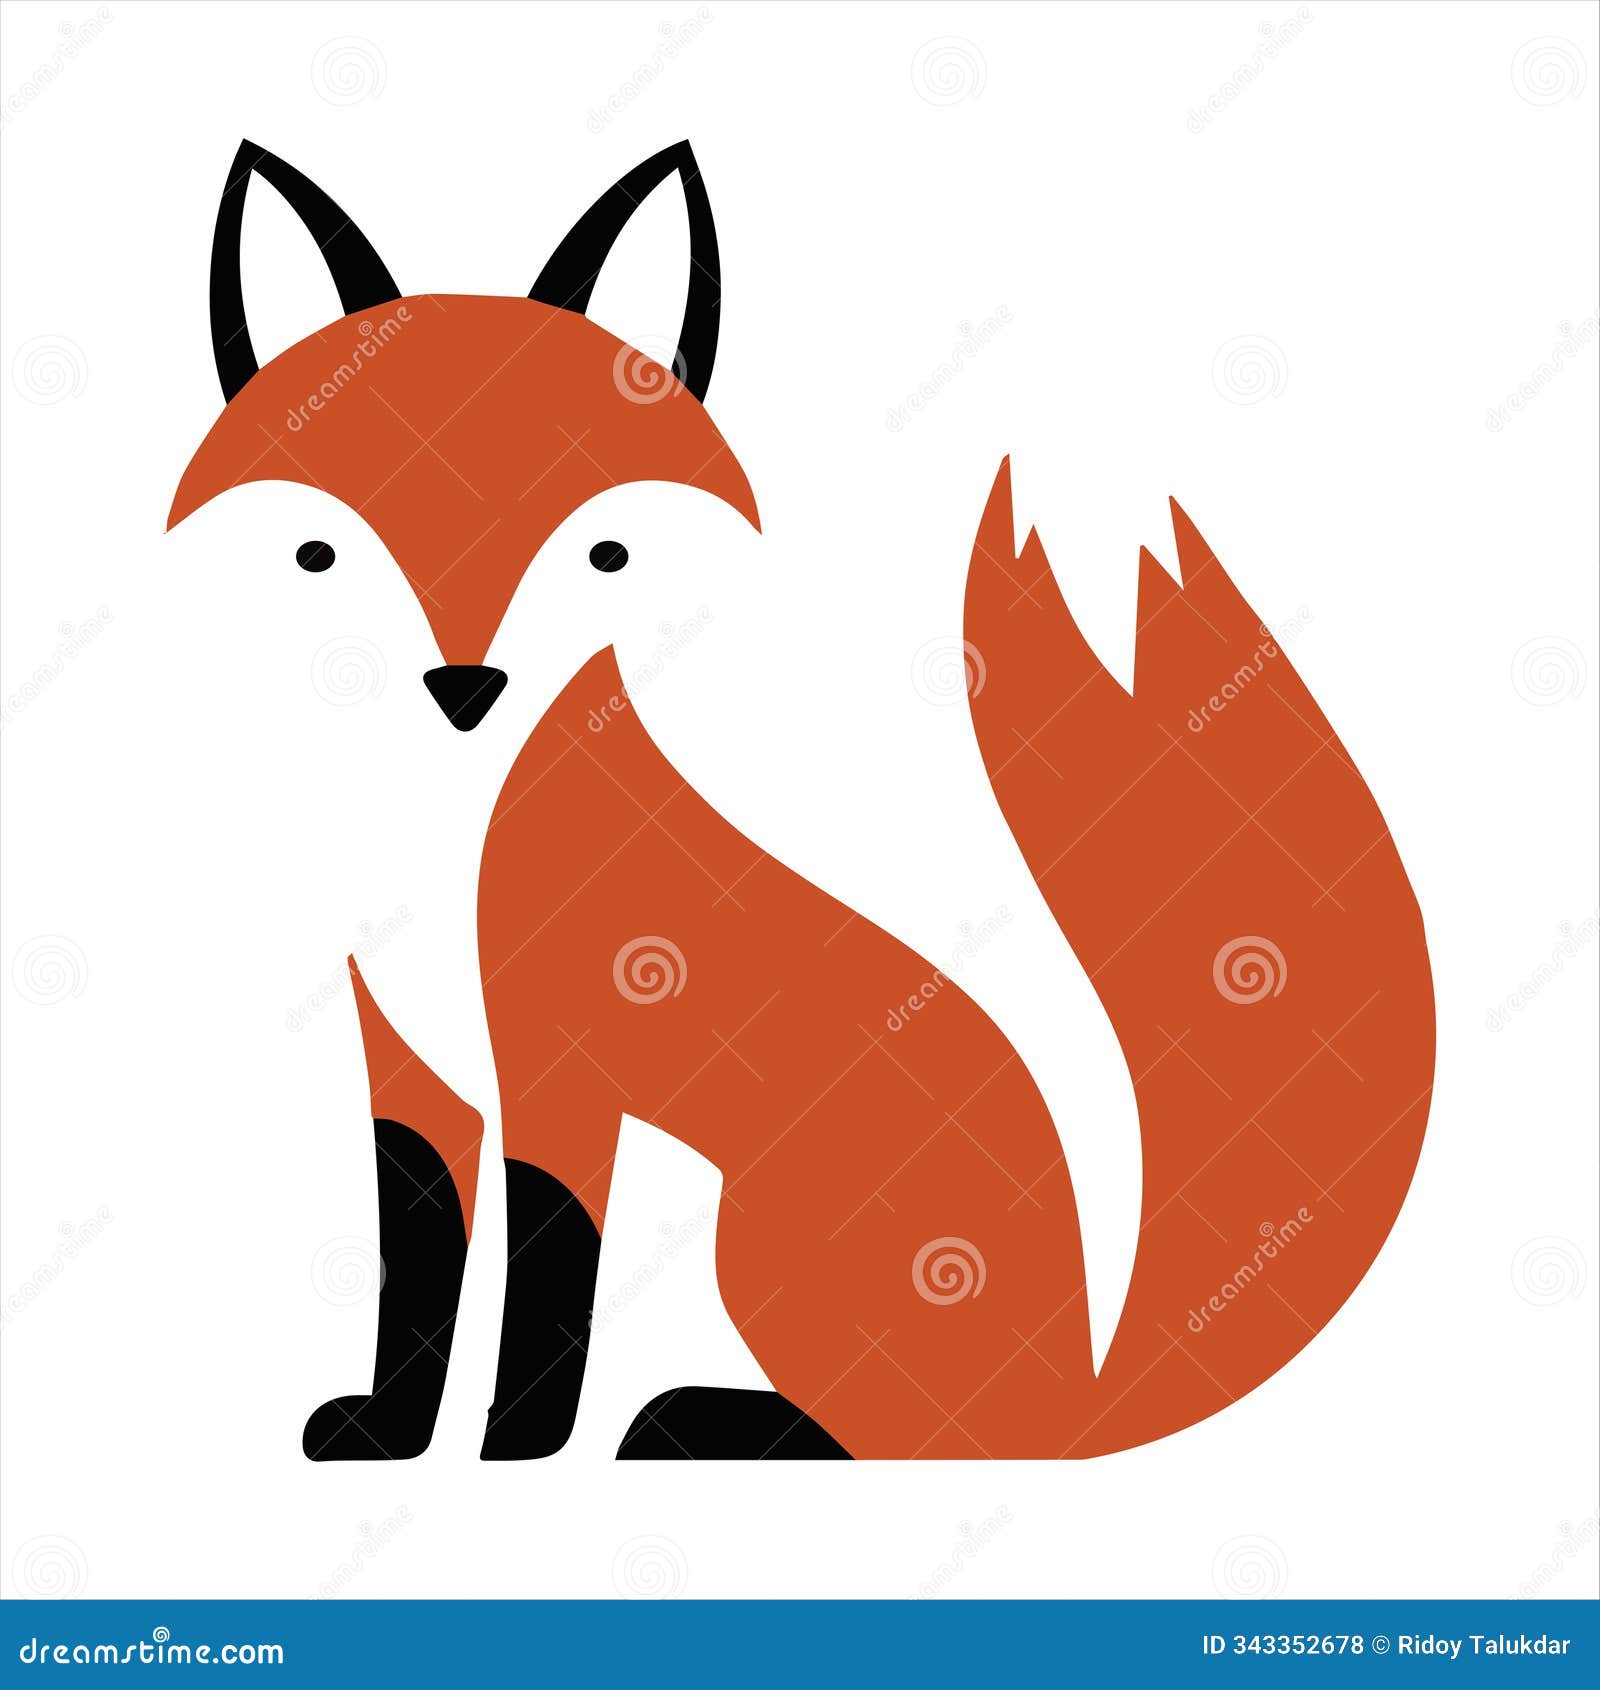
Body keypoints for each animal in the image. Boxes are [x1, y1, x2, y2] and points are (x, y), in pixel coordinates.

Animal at [168, 140, 1435, 1460]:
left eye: (602, 555)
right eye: (321, 553)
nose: (465, 689)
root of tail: (1077, 1387)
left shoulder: (556, 1072)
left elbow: (546, 1271)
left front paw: (516, 1445)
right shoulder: (408, 1064)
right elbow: (417, 1257)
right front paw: (396, 1430)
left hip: (759, 1245)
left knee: (907, 1434)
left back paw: (691, 1421)